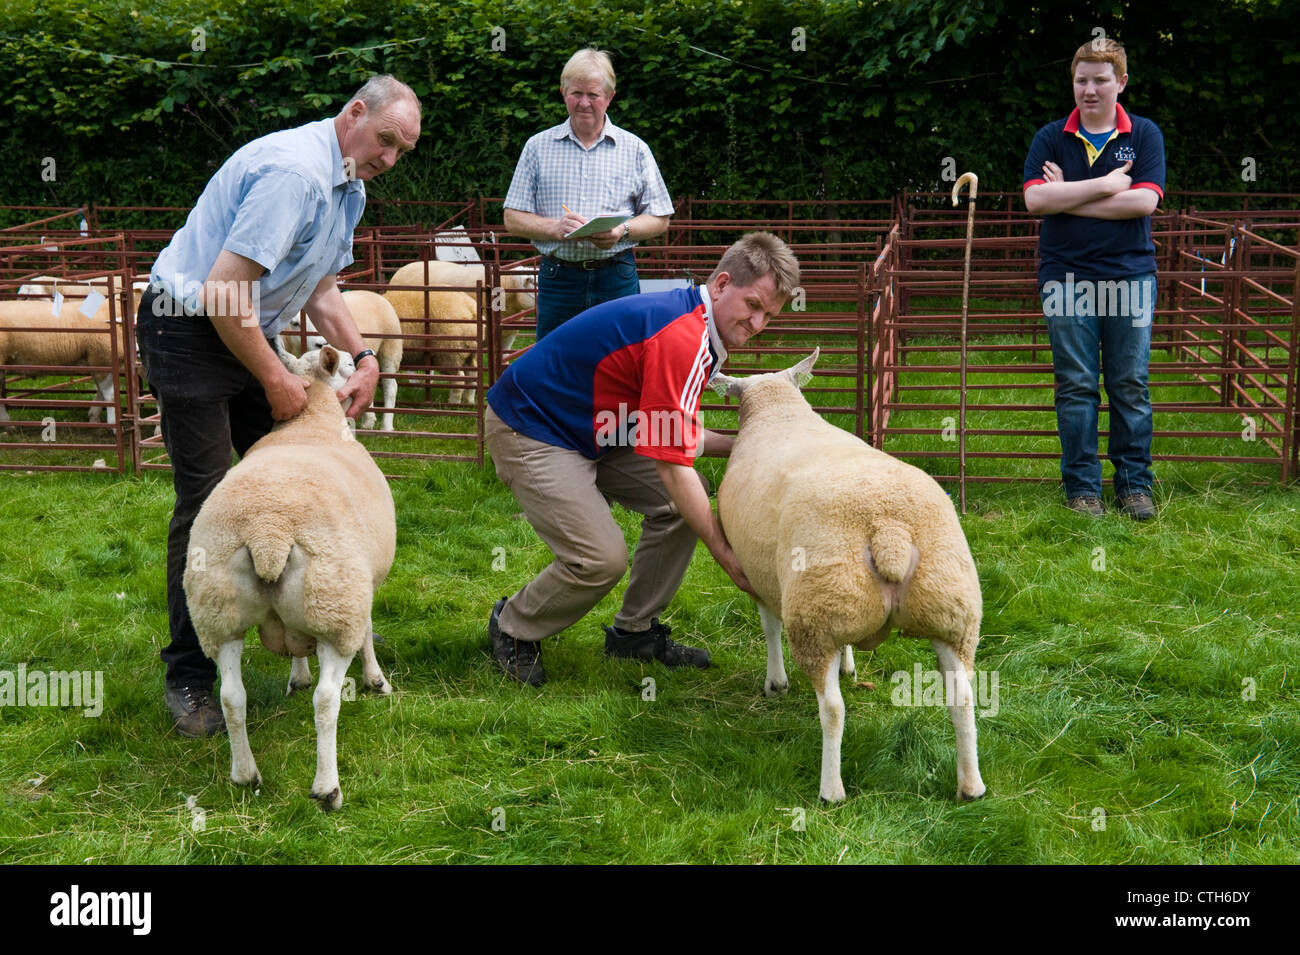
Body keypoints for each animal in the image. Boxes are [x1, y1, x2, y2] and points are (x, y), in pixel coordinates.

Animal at [0, 298, 129, 425]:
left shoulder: (97, 363)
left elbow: (101, 393)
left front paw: (94, 418)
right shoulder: (103, 358)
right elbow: (110, 396)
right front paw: (113, 423)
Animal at [183, 344, 395, 811]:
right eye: (349, 367)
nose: (357, 364)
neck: (311, 417)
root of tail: (268, 530)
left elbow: (296, 643)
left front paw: (297, 674)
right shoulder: (361, 583)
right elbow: (368, 630)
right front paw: (376, 680)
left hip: (218, 612)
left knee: (231, 696)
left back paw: (245, 775)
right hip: (335, 602)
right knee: (327, 700)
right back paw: (327, 788)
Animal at [278, 290, 404, 431]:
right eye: (295, 323)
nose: (321, 344)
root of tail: (372, 293)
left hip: (390, 347)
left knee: (391, 387)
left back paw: (386, 426)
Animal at [712, 350, 987, 804]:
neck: (779, 411)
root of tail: (888, 528)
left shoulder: (758, 575)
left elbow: (769, 627)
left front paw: (776, 682)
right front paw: (850, 664)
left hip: (814, 611)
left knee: (833, 708)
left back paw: (831, 790)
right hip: (948, 610)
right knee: (962, 698)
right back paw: (971, 786)